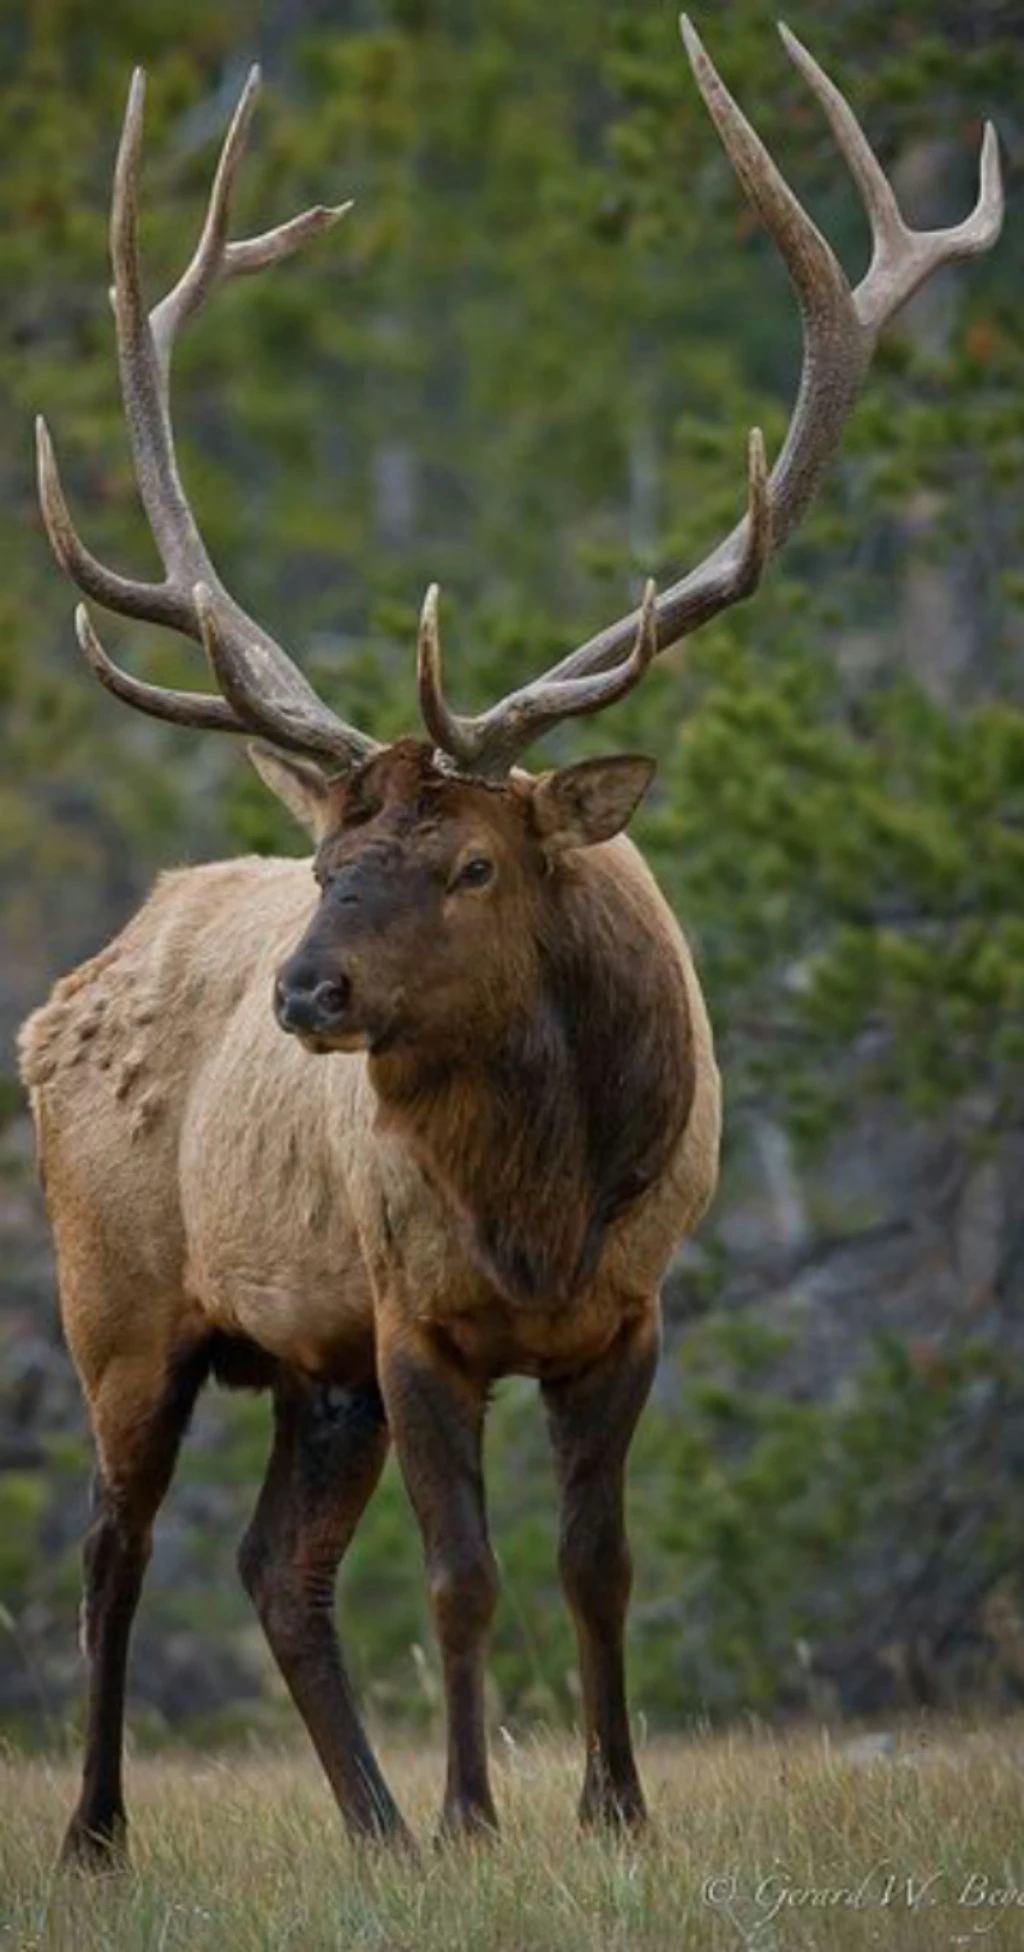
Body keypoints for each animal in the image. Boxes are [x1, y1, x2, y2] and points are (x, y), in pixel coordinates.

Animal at [19, 17, 1001, 1866]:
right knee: (114, 1548)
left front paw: (611, 1808)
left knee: (272, 1566)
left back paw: (371, 1827)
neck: (544, 1208)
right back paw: (102, 1831)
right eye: (329, 851)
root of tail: (72, 982)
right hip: (120, 1300)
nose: (306, 988)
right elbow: (464, 1582)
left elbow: (595, 1565)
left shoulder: (627, 1314)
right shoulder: (417, 1324)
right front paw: (482, 1814)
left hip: (303, 1357)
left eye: (471, 862)